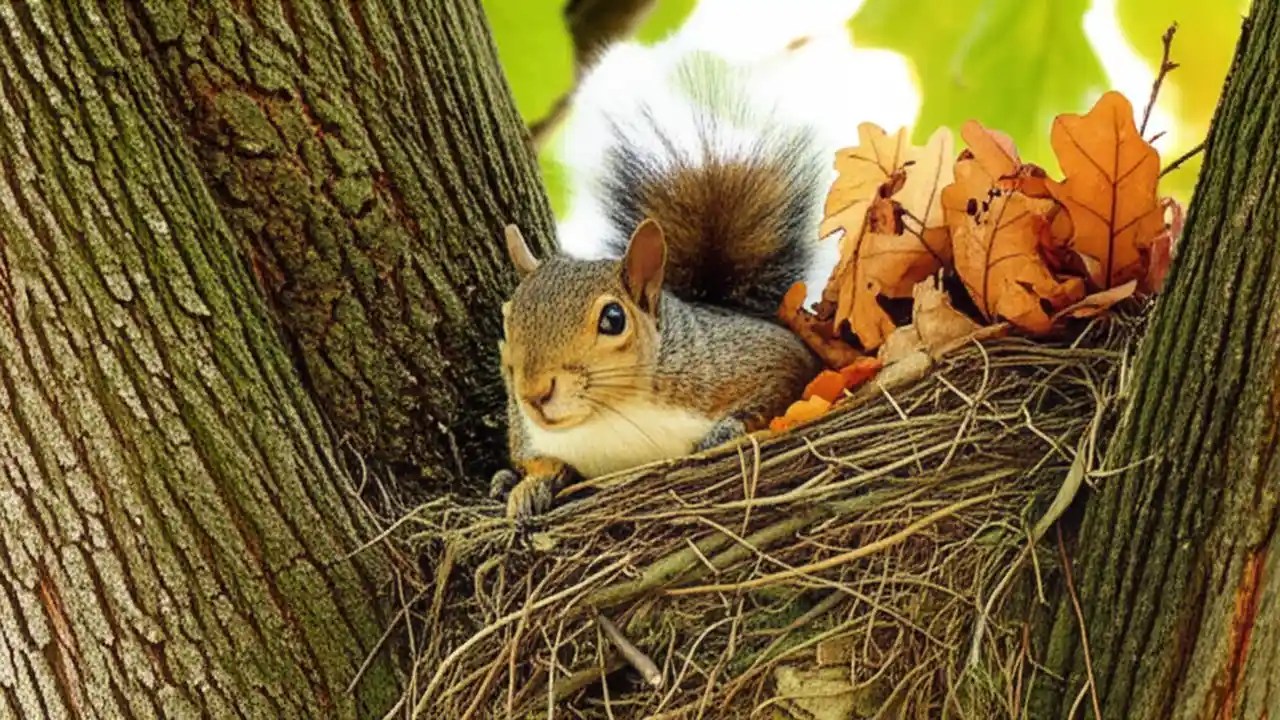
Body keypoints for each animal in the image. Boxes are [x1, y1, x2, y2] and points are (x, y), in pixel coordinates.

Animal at [492, 60, 827, 521]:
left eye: (614, 319)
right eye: (506, 319)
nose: (534, 395)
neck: (612, 415)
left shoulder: (761, 358)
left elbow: (781, 388)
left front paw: (727, 428)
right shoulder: (528, 434)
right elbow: (537, 459)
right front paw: (530, 486)